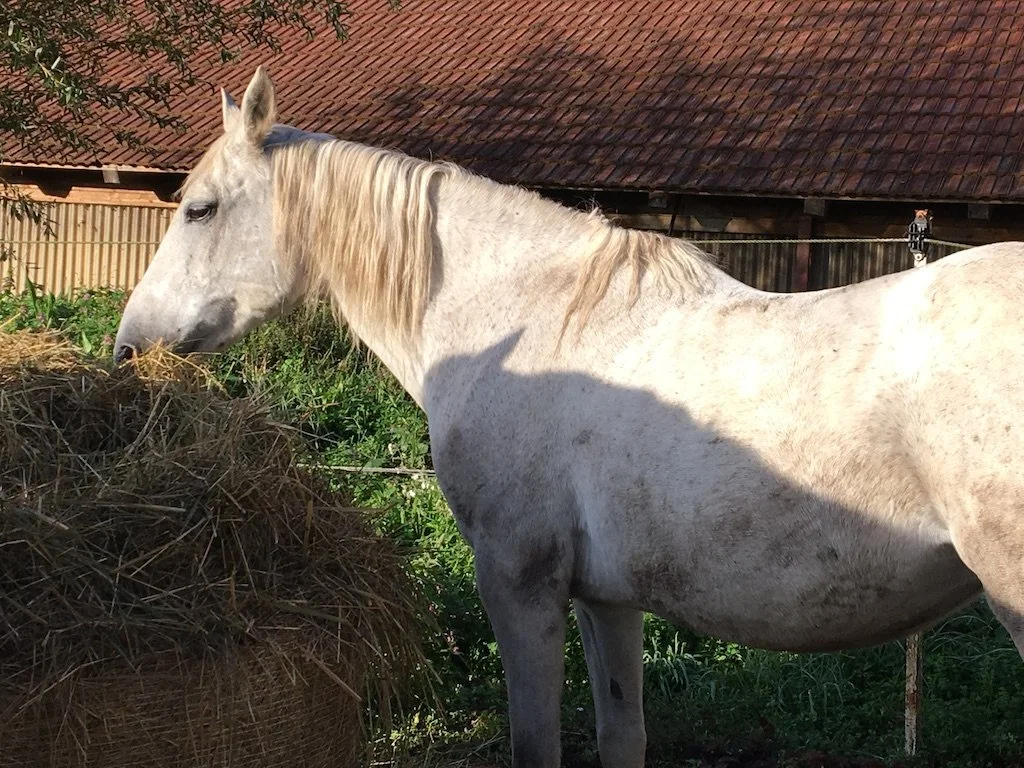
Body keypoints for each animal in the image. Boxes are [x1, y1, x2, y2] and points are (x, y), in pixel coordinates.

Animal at [114, 66, 1024, 768]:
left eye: (199, 209)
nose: (128, 346)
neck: (526, 317)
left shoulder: (519, 582)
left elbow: (536, 745)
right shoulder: (607, 599)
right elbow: (623, 736)